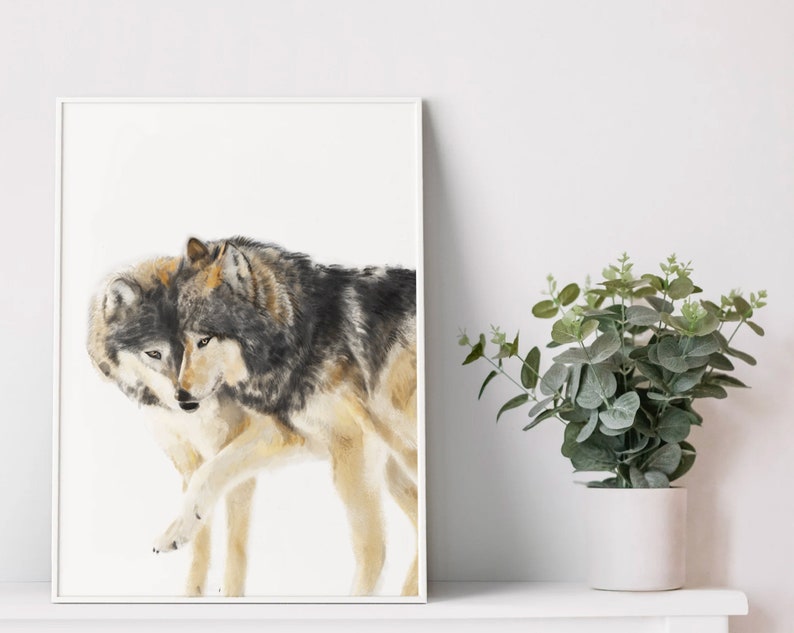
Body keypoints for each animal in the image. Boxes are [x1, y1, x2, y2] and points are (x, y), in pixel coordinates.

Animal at [87, 257, 305, 597]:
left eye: (204, 343)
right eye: (154, 353)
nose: (187, 402)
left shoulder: (256, 445)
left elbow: (233, 539)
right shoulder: (188, 460)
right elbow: (199, 531)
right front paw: (192, 590)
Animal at [151, 237, 420, 597]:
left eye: (205, 340)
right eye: (183, 342)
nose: (181, 398)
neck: (301, 335)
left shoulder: (351, 443)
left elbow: (371, 548)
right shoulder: (291, 434)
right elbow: (208, 471)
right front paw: (178, 530)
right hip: (394, 464)